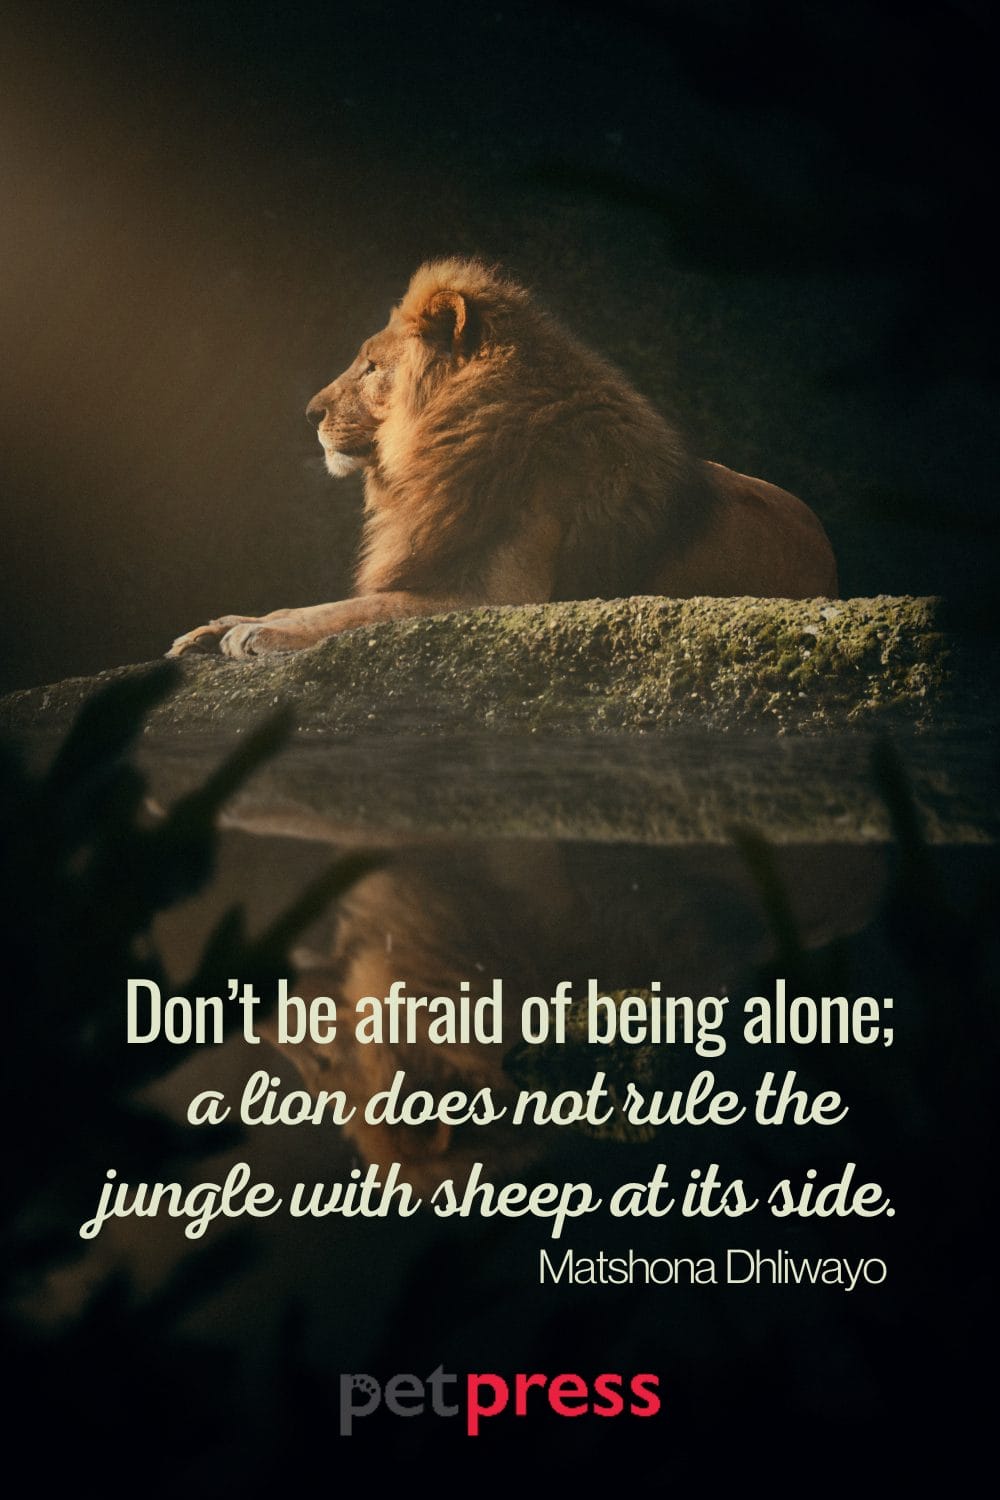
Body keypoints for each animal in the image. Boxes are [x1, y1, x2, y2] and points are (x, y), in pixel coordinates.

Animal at [167, 258, 837, 659]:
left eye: (372, 366)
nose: (309, 413)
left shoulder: (499, 599)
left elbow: (364, 610)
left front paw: (259, 632)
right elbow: (323, 603)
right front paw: (218, 625)